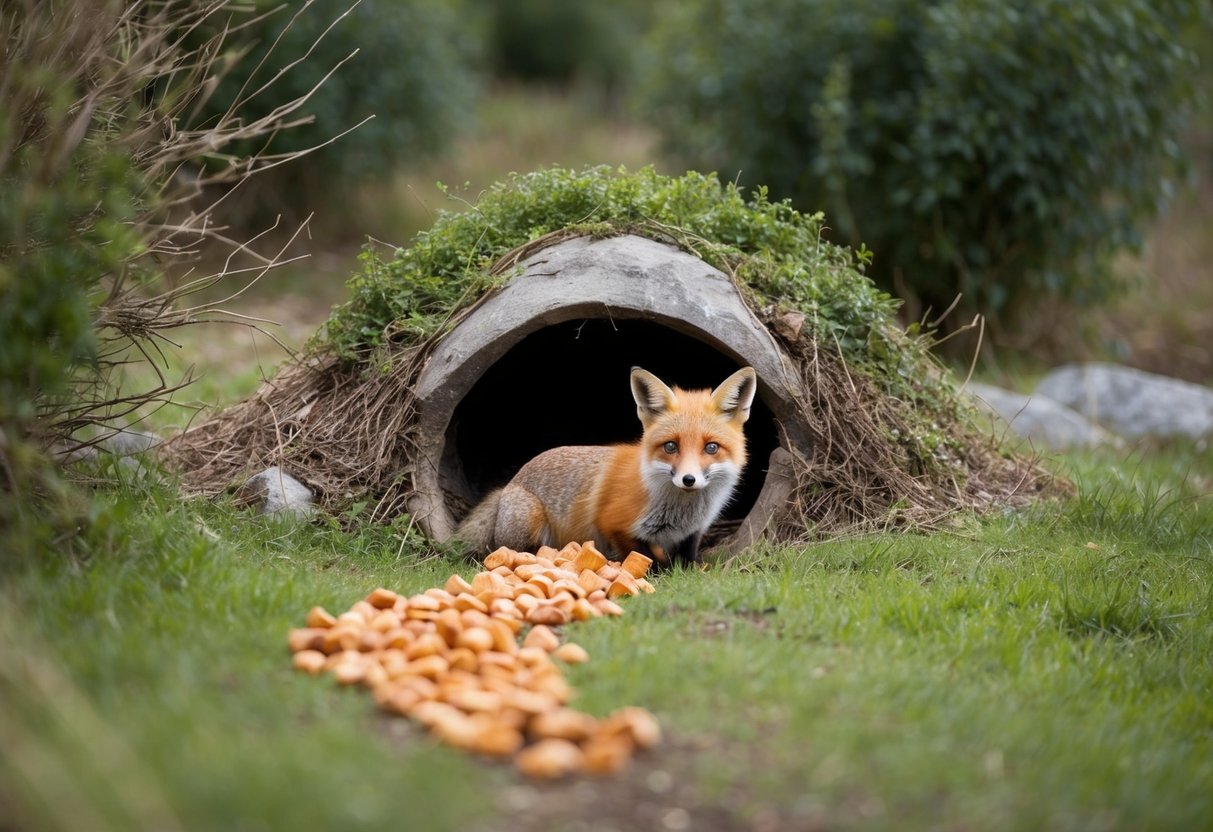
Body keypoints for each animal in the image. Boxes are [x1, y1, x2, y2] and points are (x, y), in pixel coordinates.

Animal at [457, 365, 757, 566]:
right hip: (529, 520)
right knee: (512, 550)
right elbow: (645, 556)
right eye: (671, 446)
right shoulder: (613, 523)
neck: (682, 513)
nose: (688, 479)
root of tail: (512, 481)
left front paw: (689, 570)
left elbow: (687, 558)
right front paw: (659, 571)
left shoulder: (694, 531)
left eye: (711, 448)